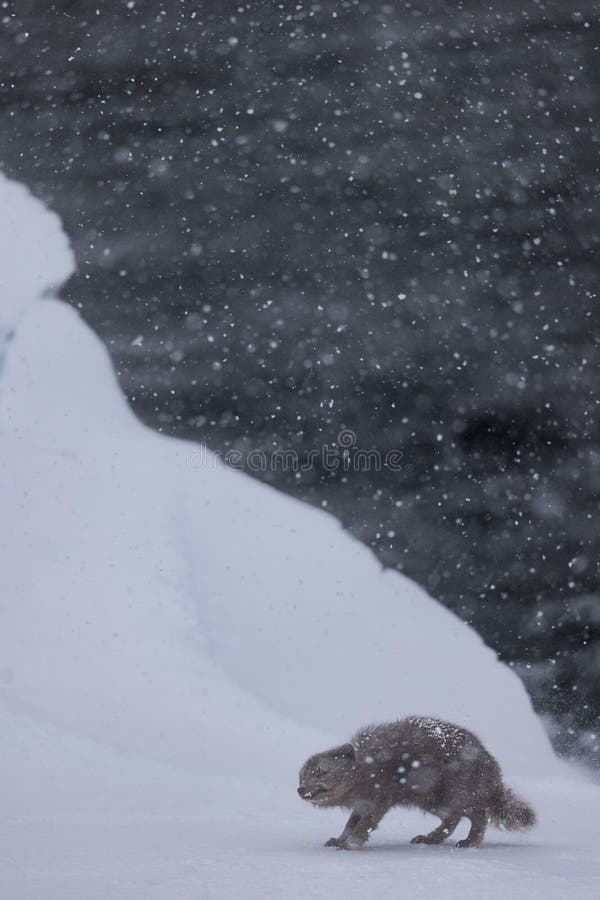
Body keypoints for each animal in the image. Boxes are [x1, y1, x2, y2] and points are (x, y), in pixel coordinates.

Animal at [298, 716, 535, 850]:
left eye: (321, 772)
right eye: (302, 776)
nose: (300, 789)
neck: (366, 768)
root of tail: (491, 767)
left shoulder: (379, 801)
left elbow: (364, 826)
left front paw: (351, 845)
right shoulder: (362, 803)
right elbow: (350, 824)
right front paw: (340, 840)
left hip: (451, 797)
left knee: (479, 816)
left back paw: (471, 842)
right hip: (433, 802)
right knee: (453, 821)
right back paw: (430, 839)